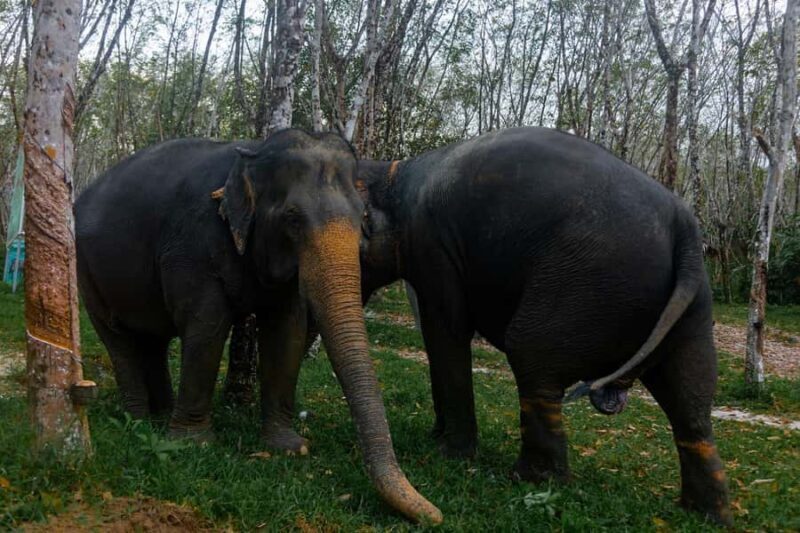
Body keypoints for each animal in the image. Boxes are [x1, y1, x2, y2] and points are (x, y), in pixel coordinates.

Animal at [74, 129, 441, 524]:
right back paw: (139, 420)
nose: (435, 515)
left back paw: (159, 414)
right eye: (293, 218)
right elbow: (206, 327)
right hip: (85, 273)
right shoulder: (191, 245)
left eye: (363, 218)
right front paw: (193, 445)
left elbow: (286, 332)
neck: (252, 151)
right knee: (118, 341)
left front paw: (290, 448)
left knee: (152, 340)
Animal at [352, 127, 732, 525]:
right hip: (693, 310)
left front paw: (448, 454)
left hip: (588, 281)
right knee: (691, 402)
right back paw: (706, 514)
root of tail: (684, 228)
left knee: (529, 353)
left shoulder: (433, 246)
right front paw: (435, 438)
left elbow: (446, 331)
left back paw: (529, 480)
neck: (395, 173)